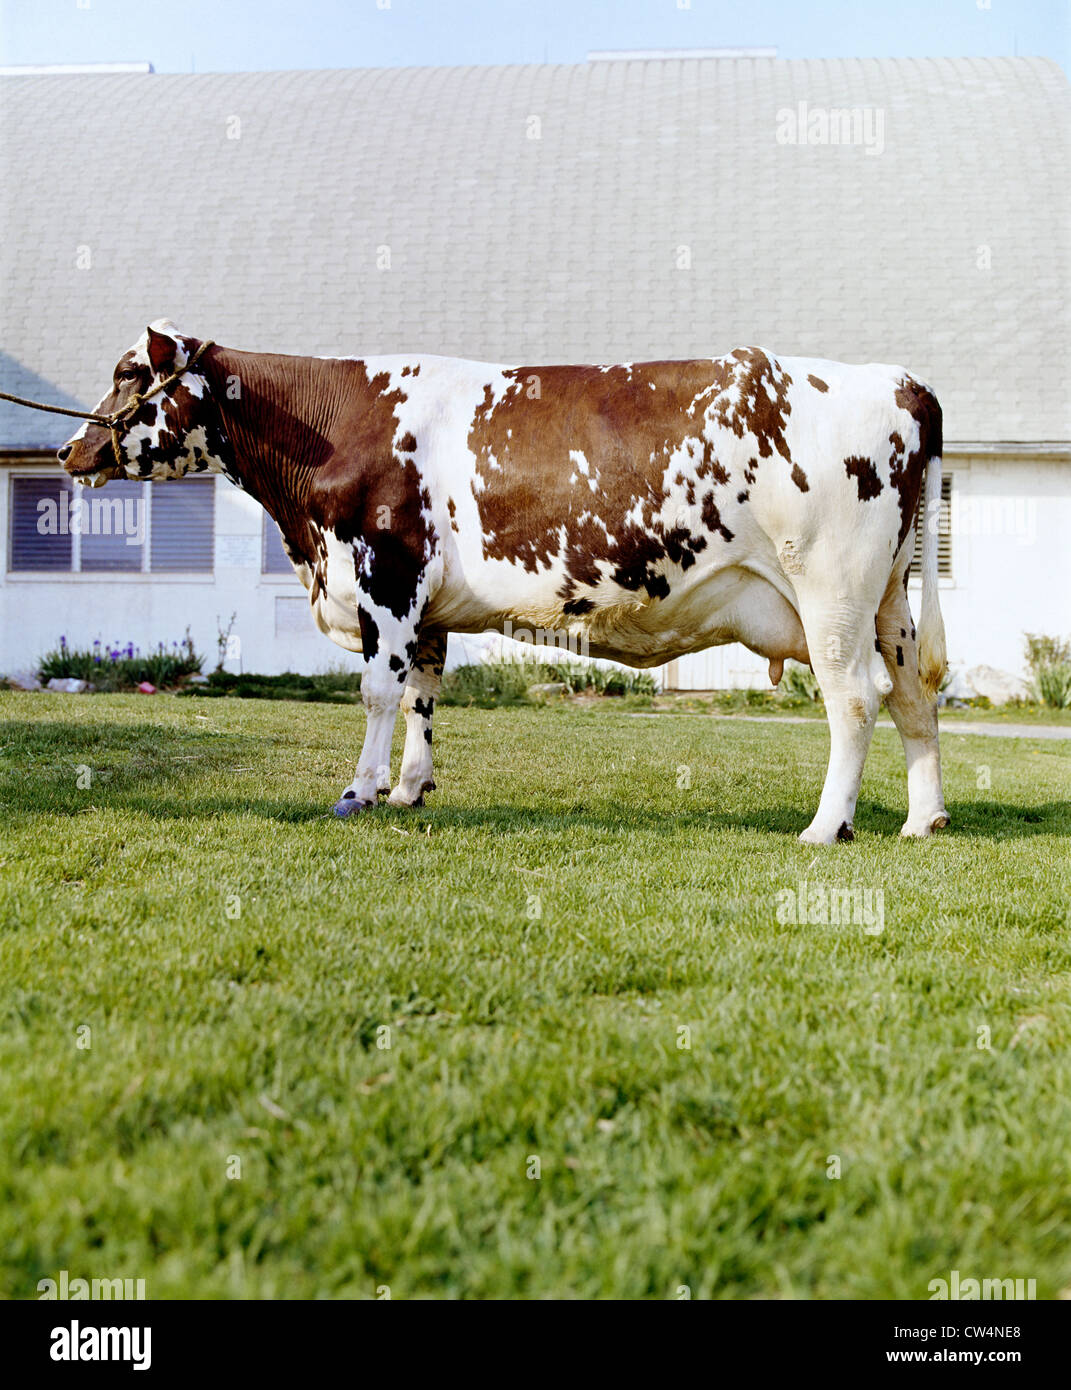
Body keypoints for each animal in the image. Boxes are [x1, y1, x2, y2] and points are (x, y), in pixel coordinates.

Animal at [59, 320, 949, 844]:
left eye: (129, 371)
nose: (71, 449)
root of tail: (900, 380)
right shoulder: (421, 607)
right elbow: (420, 694)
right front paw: (409, 790)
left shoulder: (385, 573)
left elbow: (376, 692)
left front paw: (358, 792)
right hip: (888, 600)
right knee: (912, 696)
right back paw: (923, 819)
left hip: (831, 588)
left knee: (854, 700)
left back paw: (826, 827)